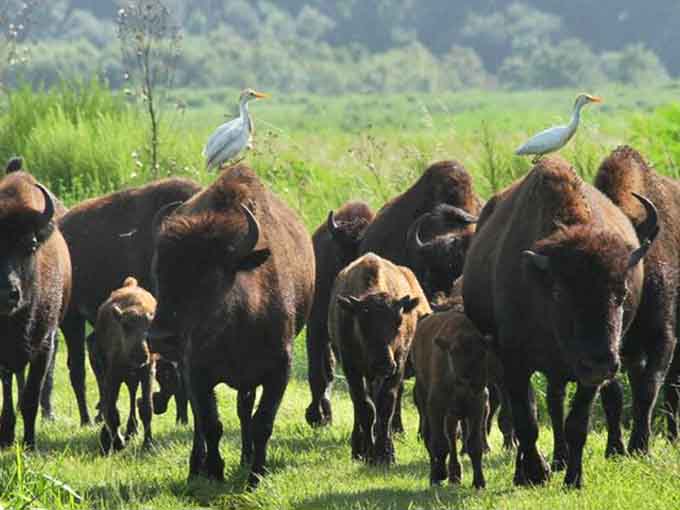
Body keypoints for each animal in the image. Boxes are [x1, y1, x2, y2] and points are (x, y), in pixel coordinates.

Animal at [0, 170, 71, 449]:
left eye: (30, 245)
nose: (7, 293)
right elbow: (7, 393)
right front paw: (6, 437)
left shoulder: (44, 344)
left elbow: (32, 393)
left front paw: (30, 443)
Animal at [148, 164, 315, 486]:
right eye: (159, 272)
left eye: (209, 276)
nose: (160, 337)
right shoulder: (197, 371)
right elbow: (210, 423)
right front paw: (214, 471)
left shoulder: (279, 370)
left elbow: (262, 422)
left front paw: (256, 474)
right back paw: (195, 467)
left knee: (244, 408)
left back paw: (246, 457)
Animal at [328, 253, 431, 464]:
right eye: (361, 323)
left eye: (399, 321)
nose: (383, 364)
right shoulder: (352, 369)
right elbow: (365, 407)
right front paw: (367, 452)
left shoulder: (397, 366)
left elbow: (385, 405)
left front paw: (385, 455)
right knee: (360, 406)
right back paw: (358, 446)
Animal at [463, 156, 657, 488]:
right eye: (559, 292)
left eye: (621, 293)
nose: (599, 362)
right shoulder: (514, 362)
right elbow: (526, 420)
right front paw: (534, 474)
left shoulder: (587, 376)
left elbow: (575, 423)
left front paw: (573, 479)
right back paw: (534, 467)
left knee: (555, 406)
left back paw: (560, 460)